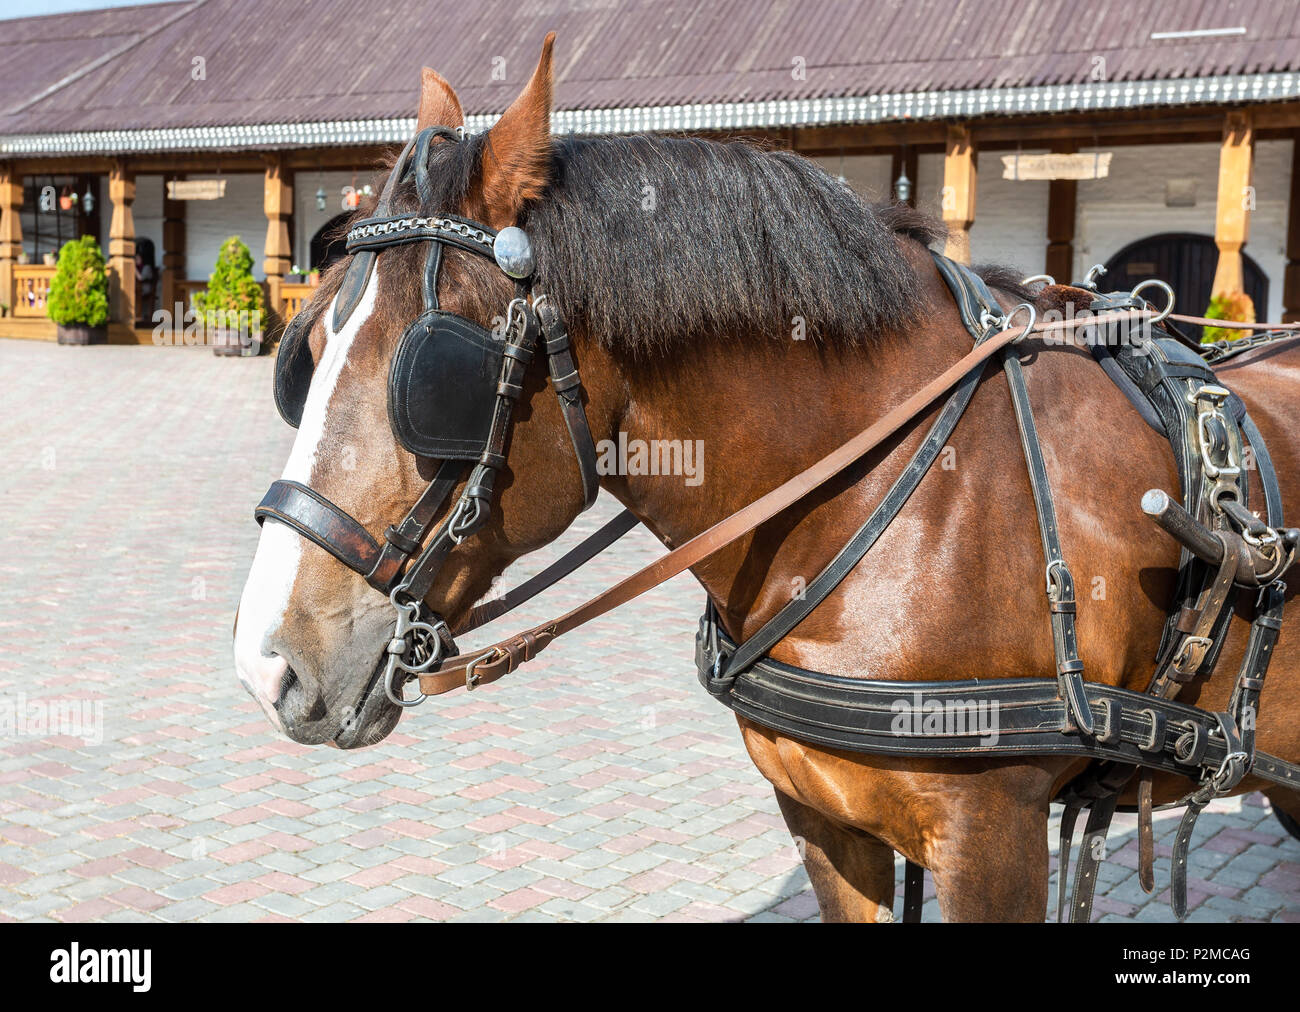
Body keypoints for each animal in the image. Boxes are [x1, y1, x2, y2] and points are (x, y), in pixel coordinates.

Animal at [233, 36, 1300, 921]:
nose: (266, 663)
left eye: (429, 380)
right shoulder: (823, 818)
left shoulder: (990, 837)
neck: (894, 501)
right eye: (306, 352)